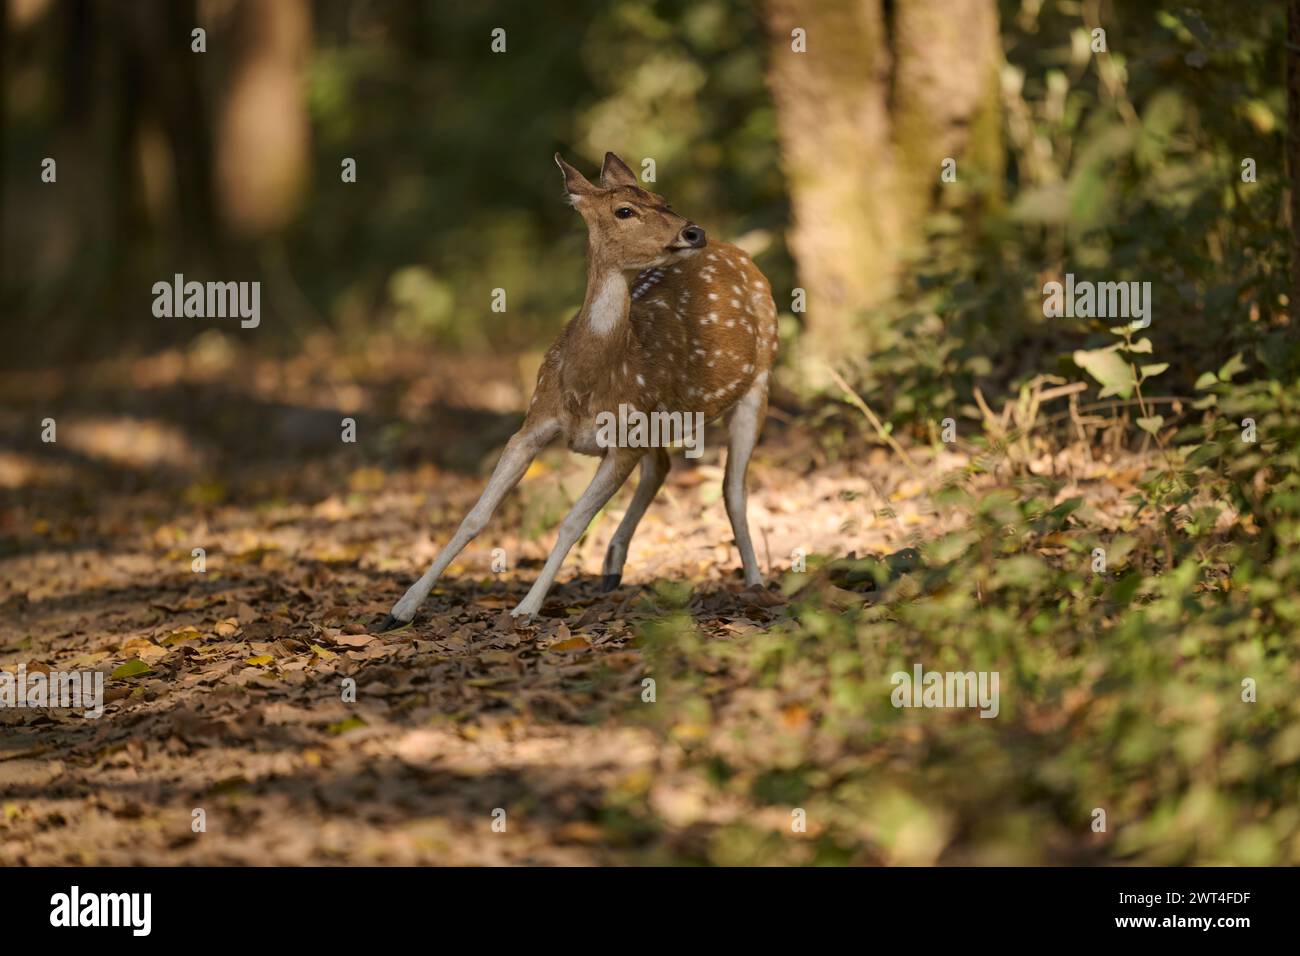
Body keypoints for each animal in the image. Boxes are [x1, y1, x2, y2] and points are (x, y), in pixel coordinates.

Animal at [379, 151, 778, 630]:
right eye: (625, 210)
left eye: (664, 200)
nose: (694, 231)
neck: (588, 383)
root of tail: (739, 252)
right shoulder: (536, 419)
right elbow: (475, 515)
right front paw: (400, 608)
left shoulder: (625, 437)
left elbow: (572, 521)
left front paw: (526, 608)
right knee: (662, 467)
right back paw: (612, 569)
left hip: (759, 379)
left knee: (732, 489)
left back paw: (755, 583)